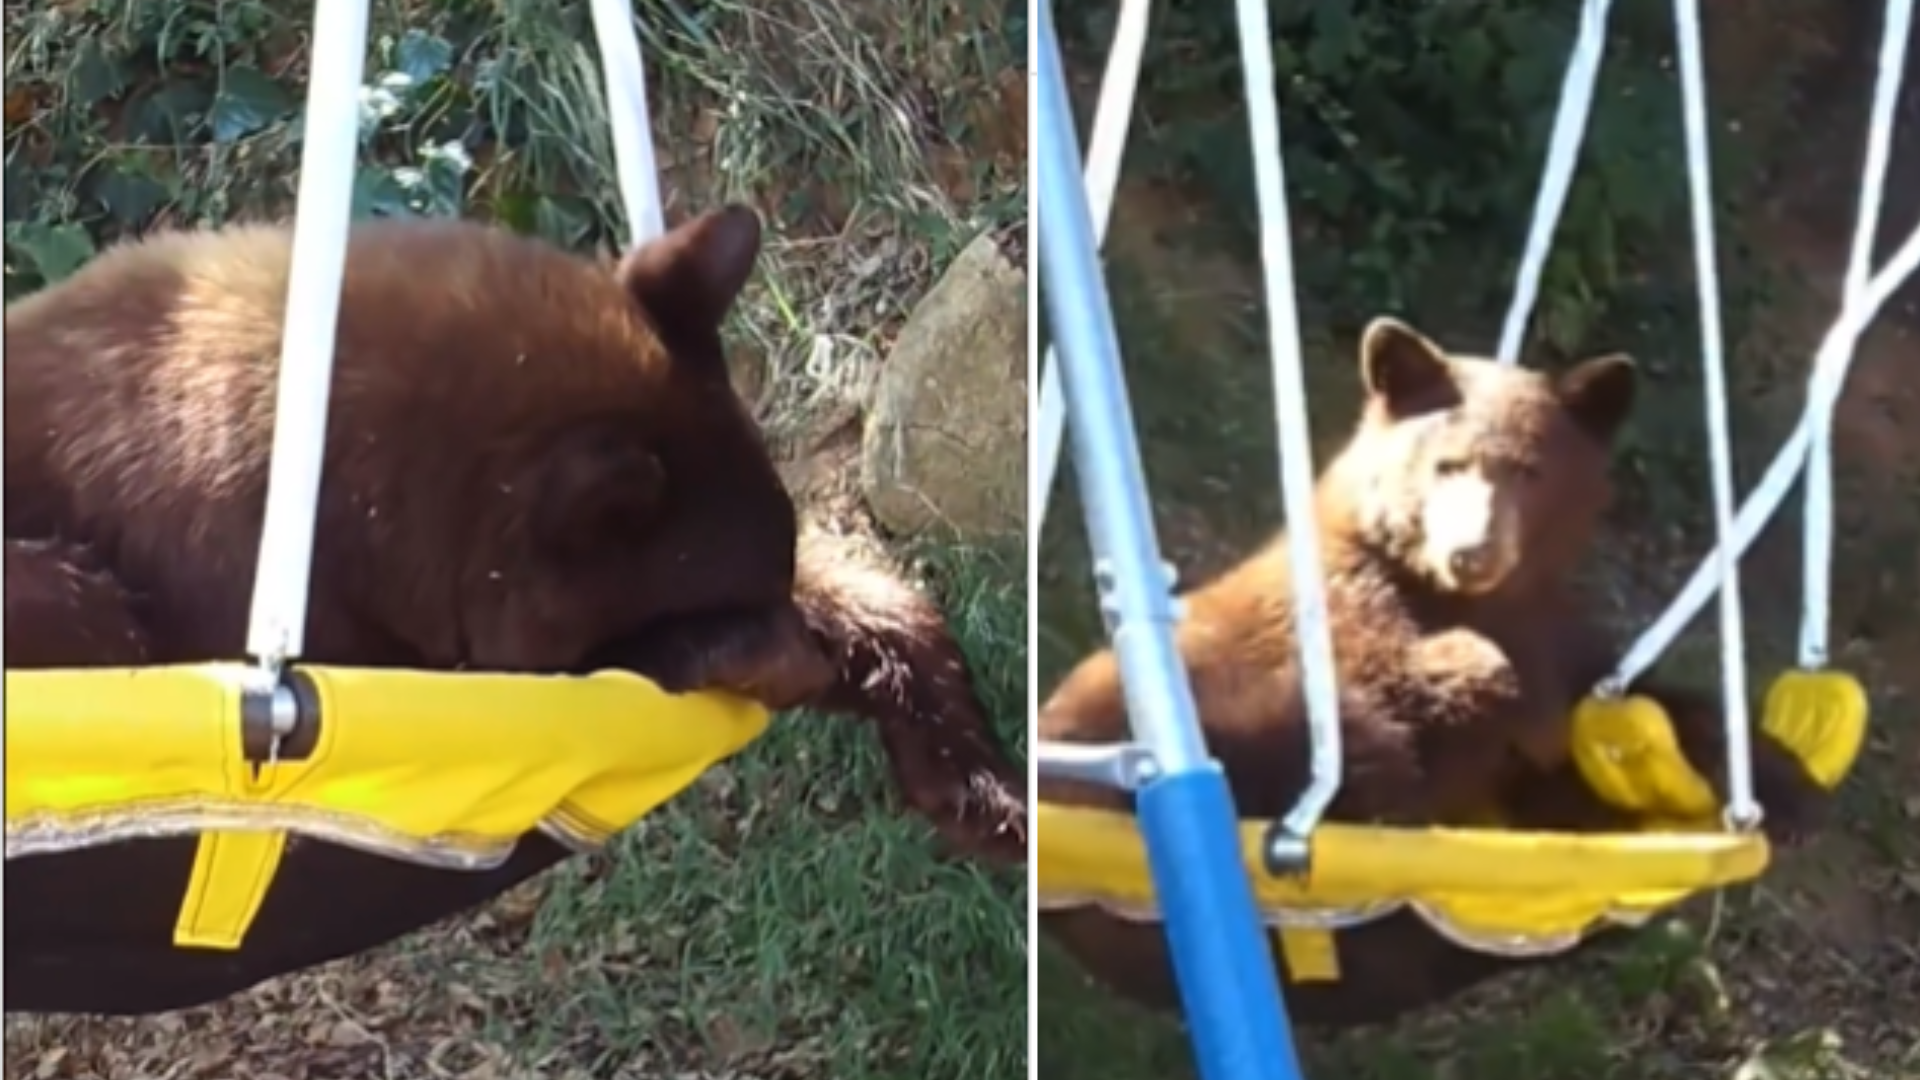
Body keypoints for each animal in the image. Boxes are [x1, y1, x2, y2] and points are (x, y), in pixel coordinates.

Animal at [1036, 317, 1828, 1028]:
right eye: (1447, 463)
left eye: (1529, 470)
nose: (1472, 552)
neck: (1467, 599)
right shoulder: (1345, 610)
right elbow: (1432, 679)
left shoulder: (1558, 637)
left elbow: (1620, 705)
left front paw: (1778, 778)